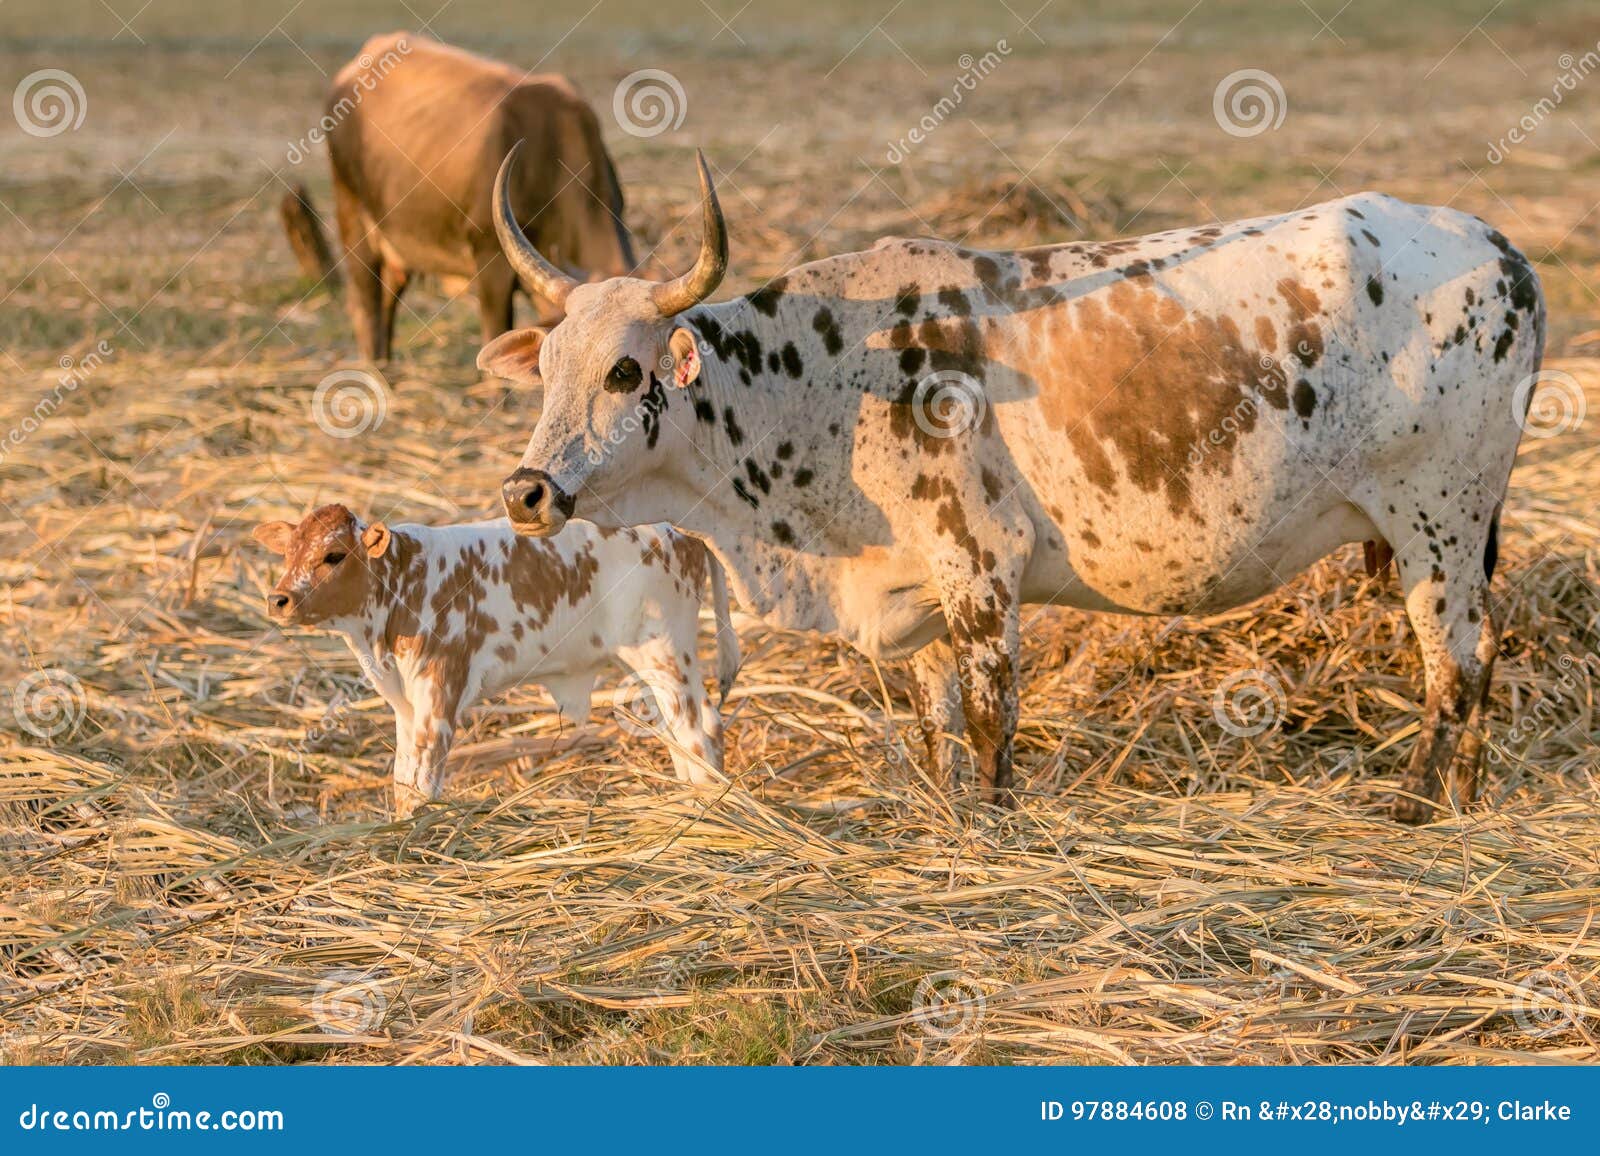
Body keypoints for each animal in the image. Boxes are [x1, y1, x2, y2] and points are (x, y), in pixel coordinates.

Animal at [253, 504, 739, 816]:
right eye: (288, 552)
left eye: (334, 555)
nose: (278, 599)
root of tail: (676, 526)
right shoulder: (406, 705)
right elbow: (403, 777)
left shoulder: (439, 690)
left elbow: (423, 778)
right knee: (682, 730)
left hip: (665, 652)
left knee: (697, 729)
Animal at [481, 147, 1545, 825]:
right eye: (549, 367)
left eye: (624, 370)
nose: (527, 492)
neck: (824, 375)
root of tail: (1498, 248)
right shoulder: (910, 586)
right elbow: (933, 724)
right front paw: (943, 817)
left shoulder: (980, 568)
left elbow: (992, 724)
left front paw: (993, 834)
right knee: (1481, 660)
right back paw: (1467, 802)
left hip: (1438, 524)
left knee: (1458, 663)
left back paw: (1415, 809)